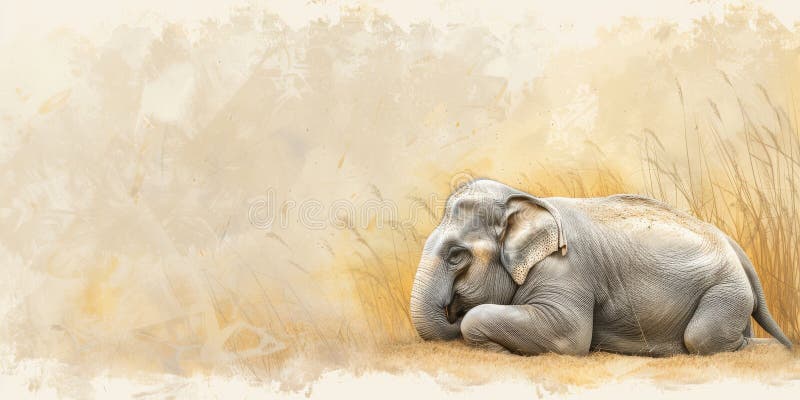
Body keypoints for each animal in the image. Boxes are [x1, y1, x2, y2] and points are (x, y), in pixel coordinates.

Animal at [409, 178, 793, 356]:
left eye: (456, 256)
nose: (452, 306)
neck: (527, 199)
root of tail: (734, 246)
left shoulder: (566, 270)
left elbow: (568, 335)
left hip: (725, 289)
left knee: (701, 338)